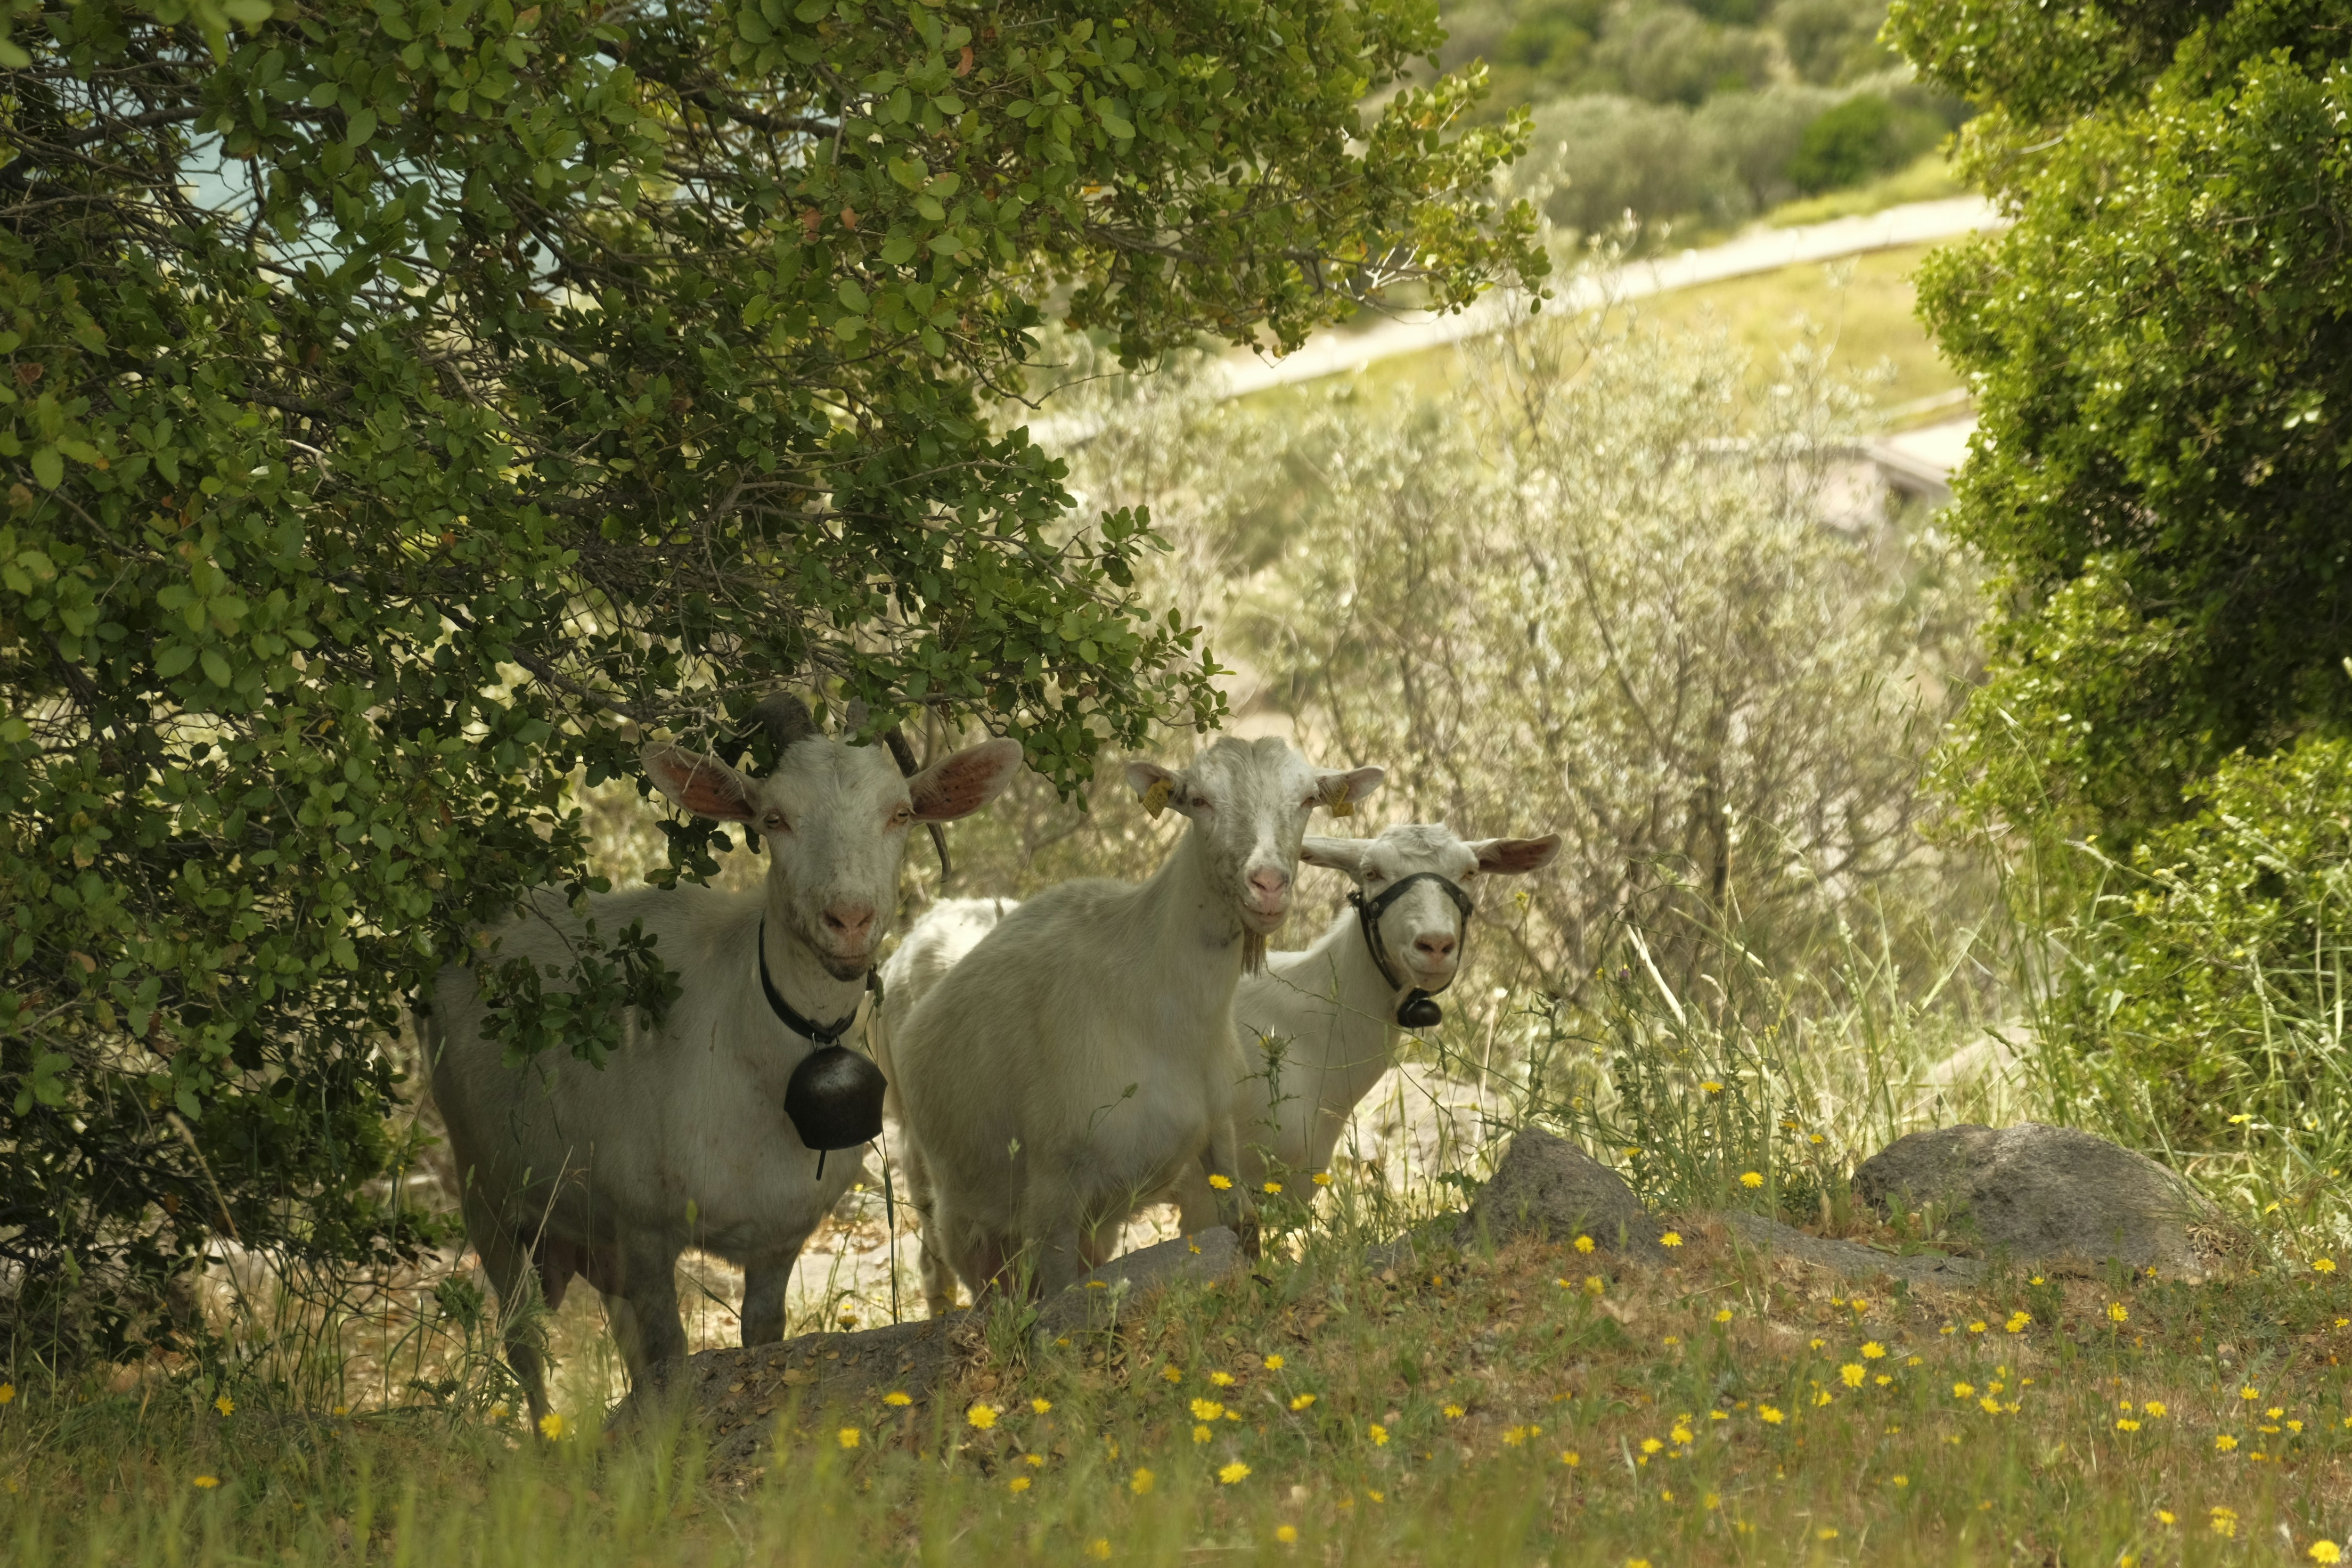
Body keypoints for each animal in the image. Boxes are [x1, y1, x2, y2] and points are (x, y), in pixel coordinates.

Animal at [422, 697, 1021, 1417]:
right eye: (774, 818)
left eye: (900, 812)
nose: (848, 919)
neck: (748, 1054)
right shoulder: (644, 1232)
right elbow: (667, 1355)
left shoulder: (778, 1238)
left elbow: (758, 1340)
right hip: (484, 1190)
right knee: (526, 1346)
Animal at [886, 737, 1383, 1313]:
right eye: (1199, 800)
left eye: (1306, 799)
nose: (1268, 886)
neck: (1157, 1008)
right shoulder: (1054, 1191)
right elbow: (1063, 1298)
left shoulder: (1217, 1134)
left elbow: (1242, 1226)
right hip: (957, 1206)